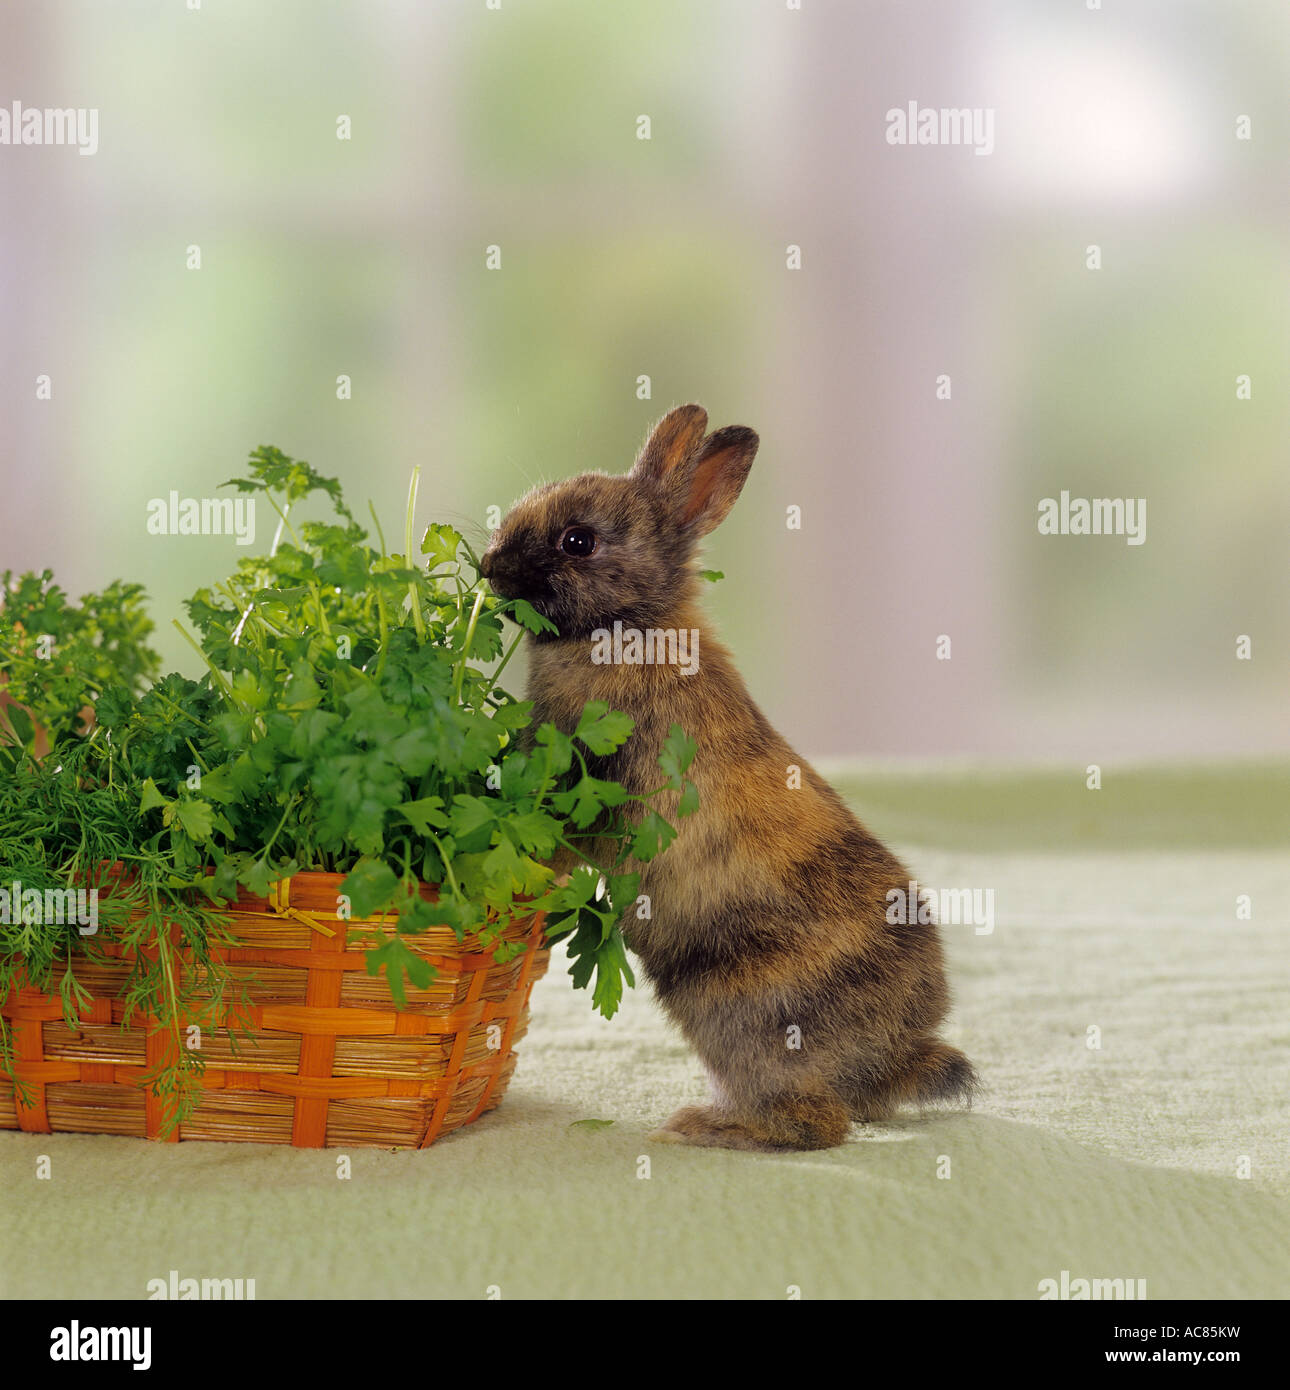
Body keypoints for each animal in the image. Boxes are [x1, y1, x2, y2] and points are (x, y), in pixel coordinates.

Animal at [479, 404, 976, 1151]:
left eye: (577, 540)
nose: (490, 566)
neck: (631, 626)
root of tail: (899, 1053)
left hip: (739, 1016)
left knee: (816, 1124)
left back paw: (698, 1128)